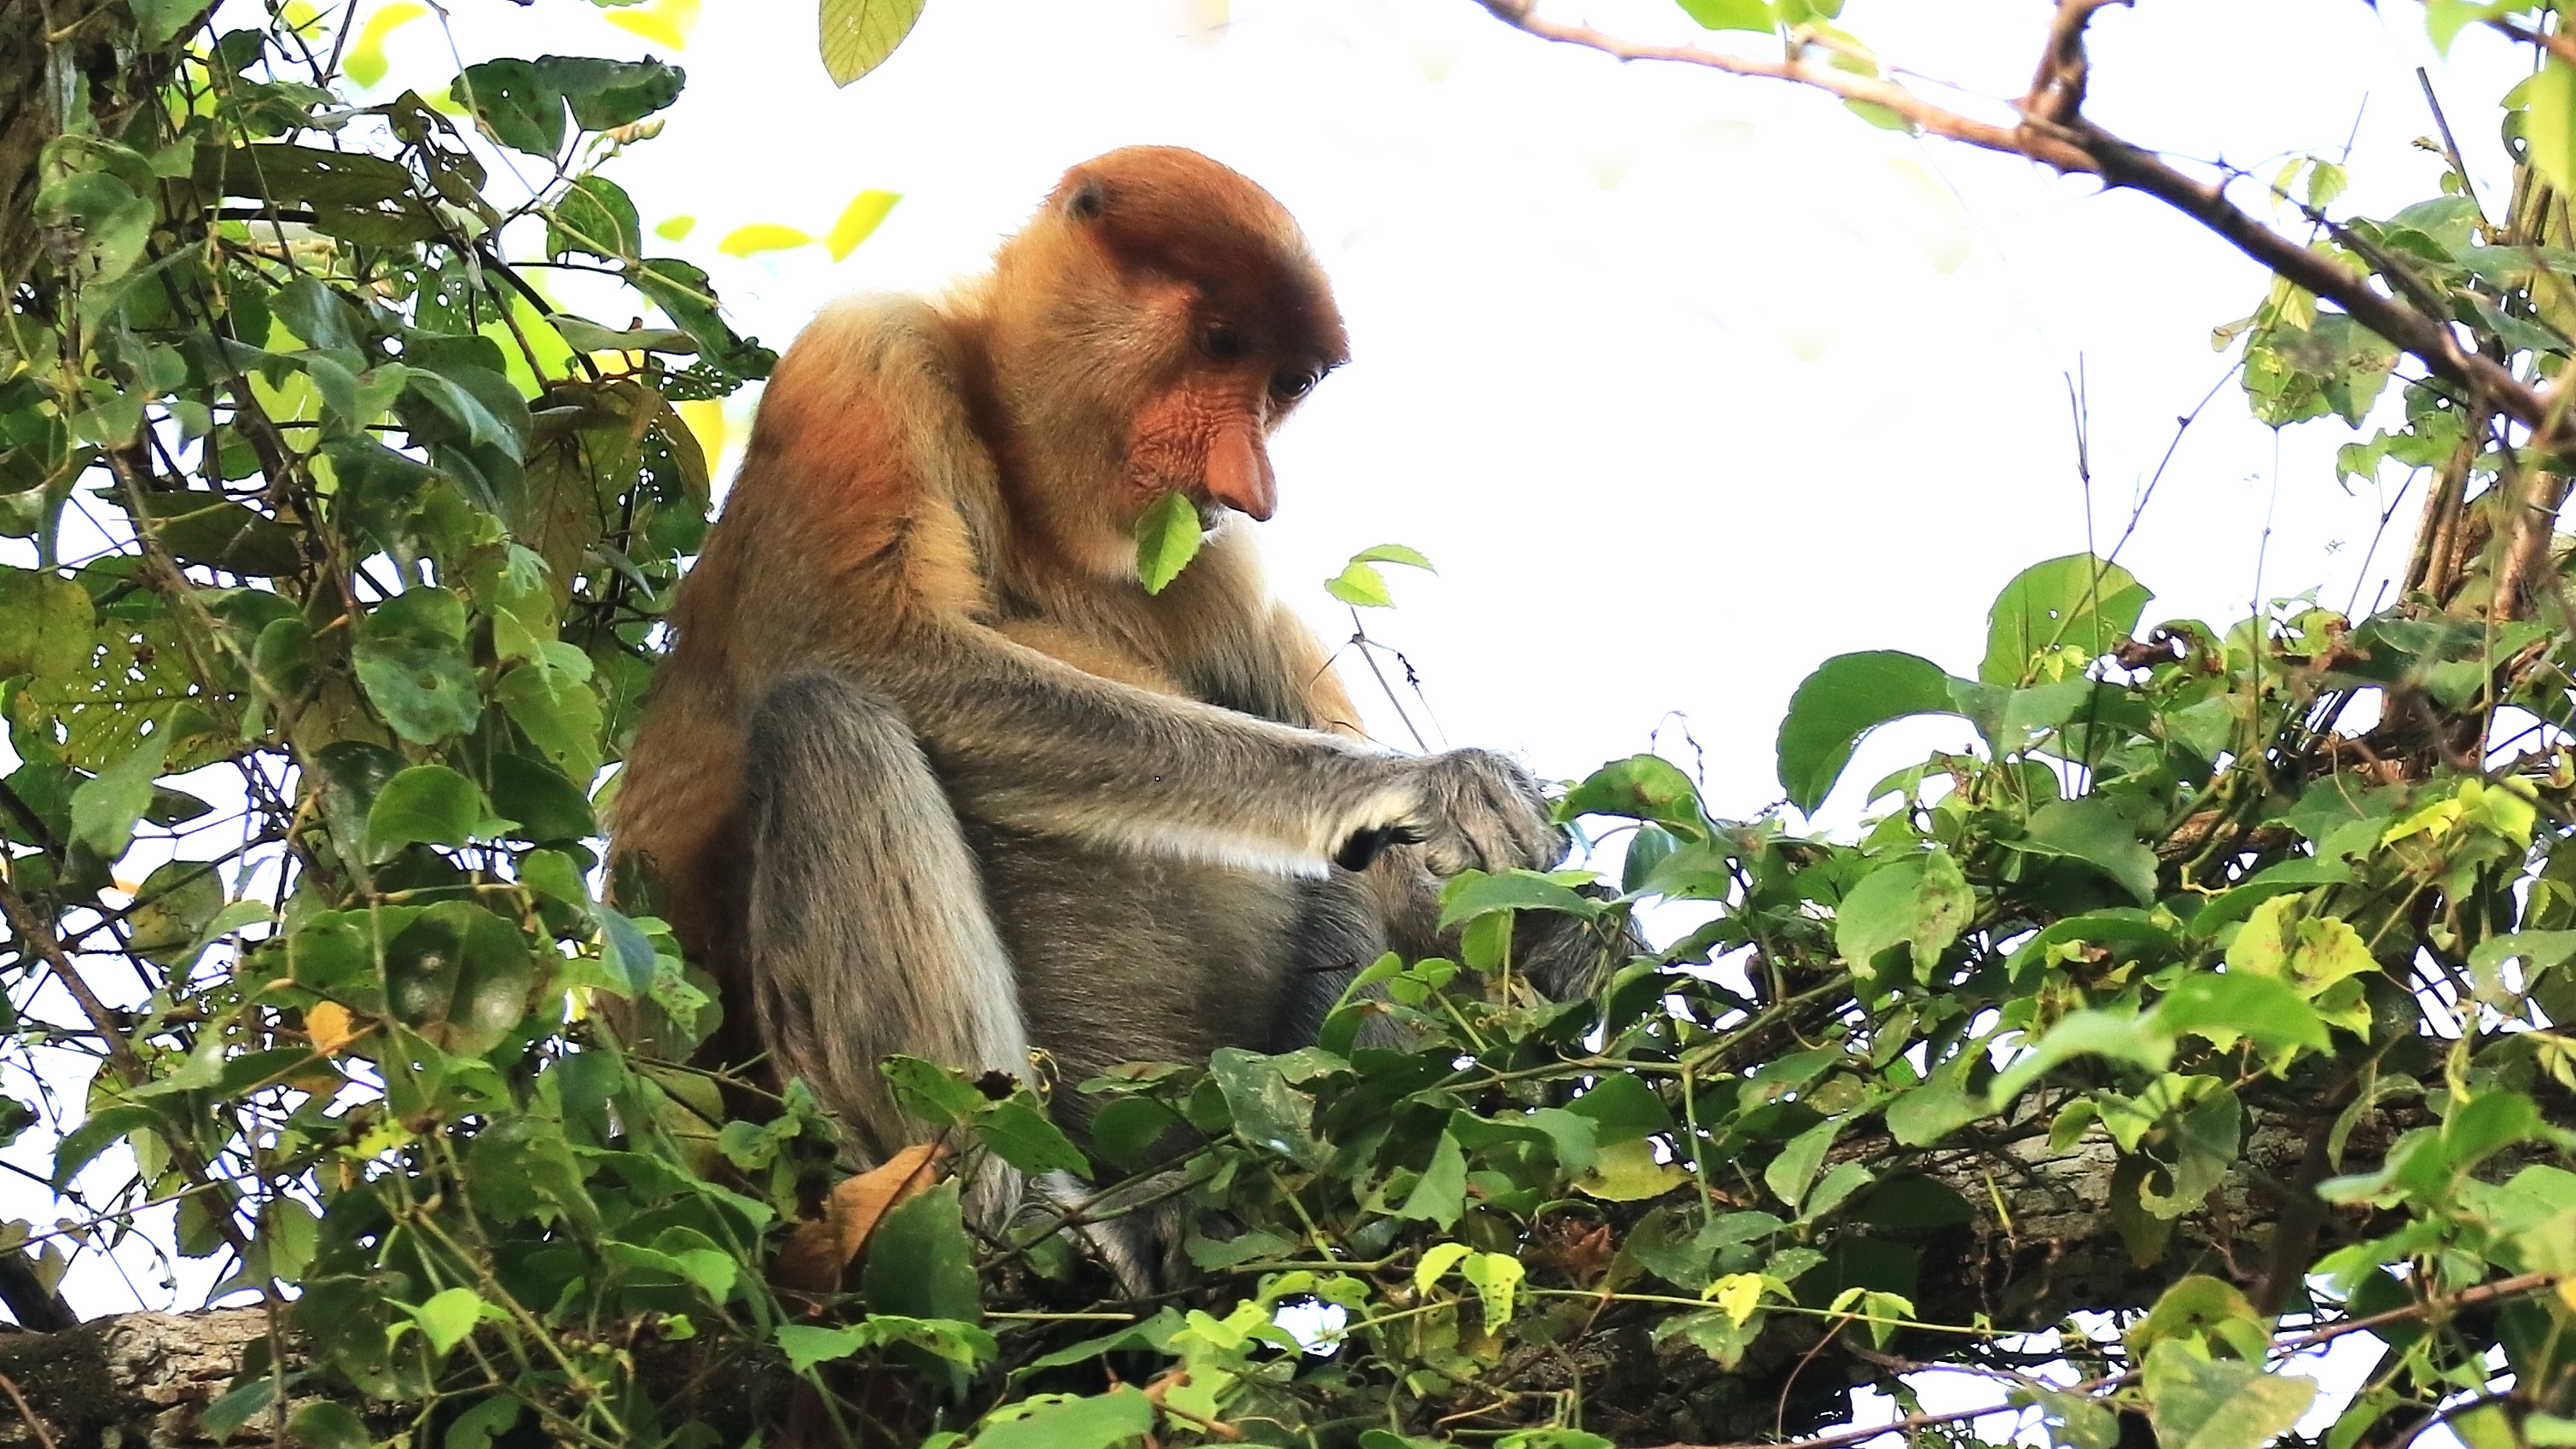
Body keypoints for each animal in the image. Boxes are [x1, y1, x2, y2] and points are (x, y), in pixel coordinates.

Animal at [609, 147, 1610, 1252]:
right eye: (1219, 341)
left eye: (1286, 382)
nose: (1250, 484)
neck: (1030, 491)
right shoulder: (862, 359)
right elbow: (856, 643)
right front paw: (1423, 784)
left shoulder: (1214, 560)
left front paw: (1568, 938)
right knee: (824, 720)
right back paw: (1002, 1214)